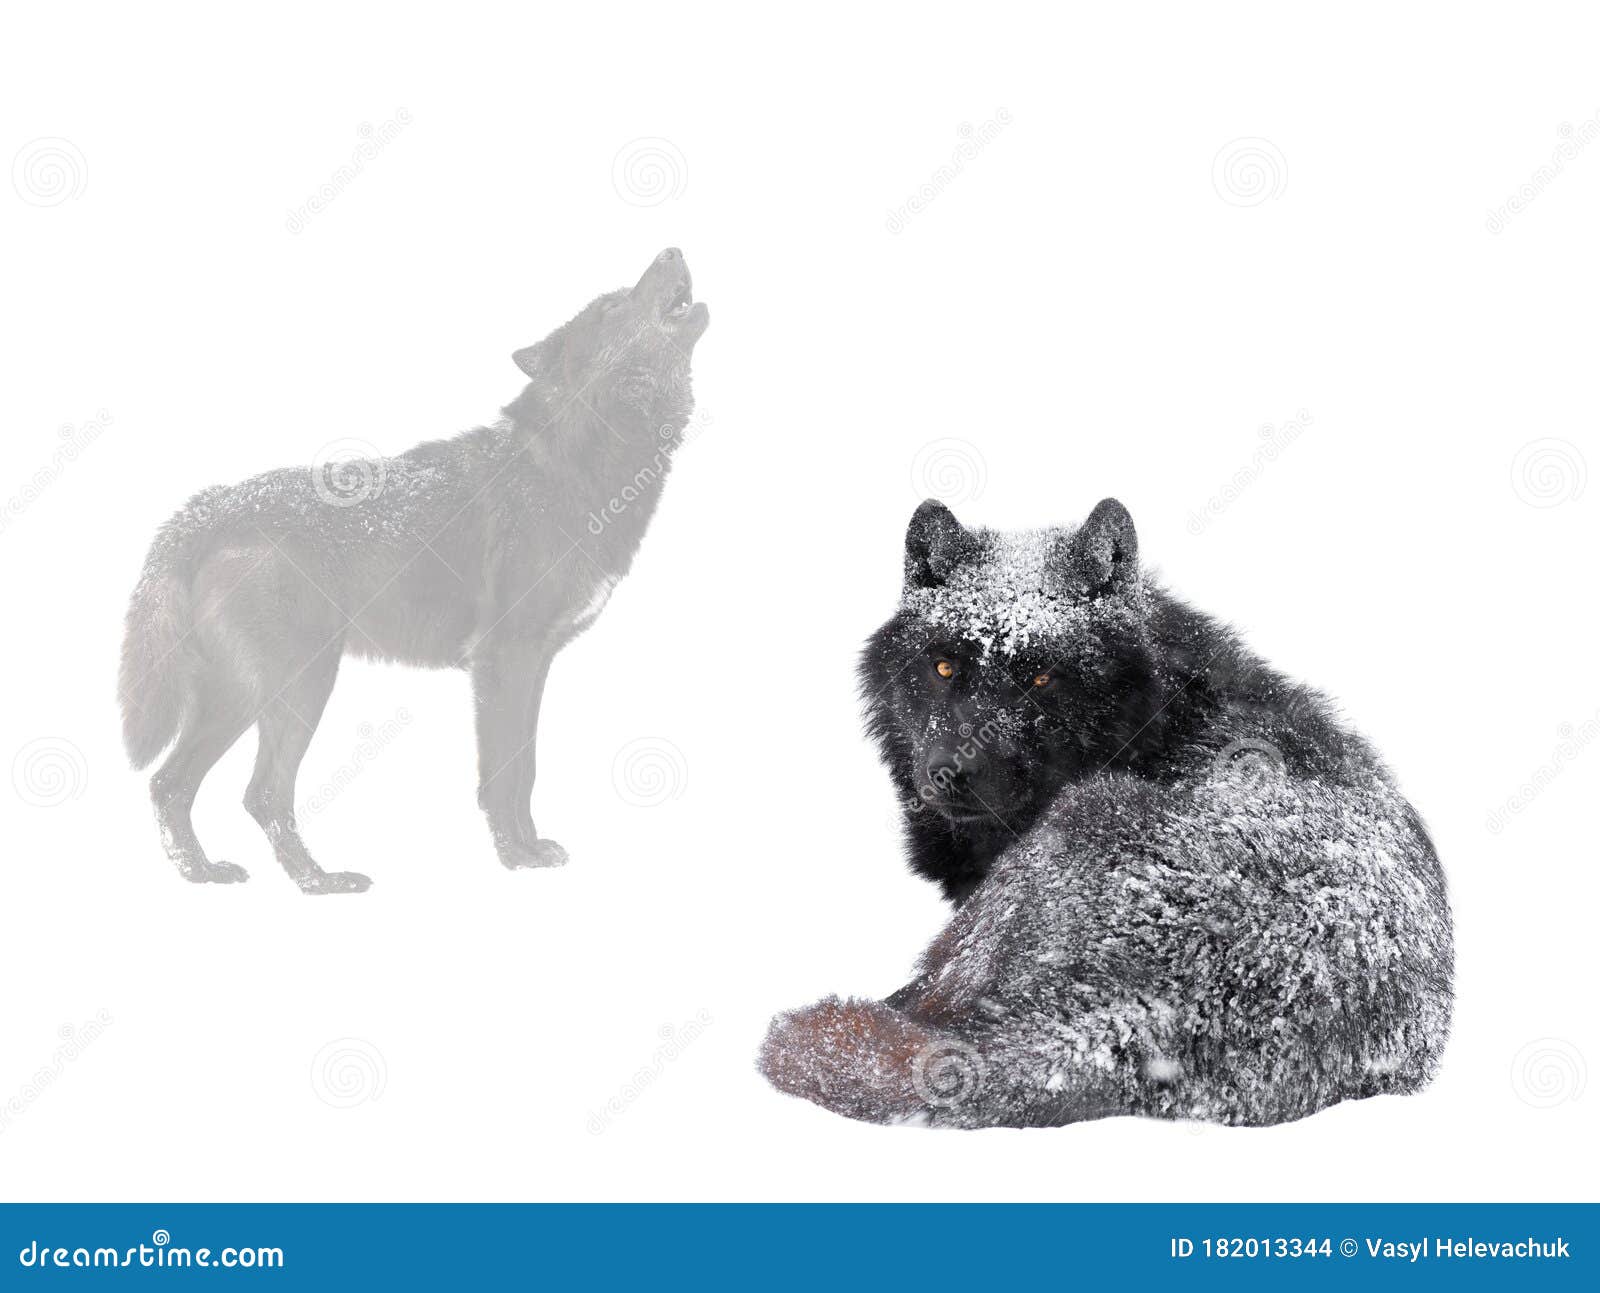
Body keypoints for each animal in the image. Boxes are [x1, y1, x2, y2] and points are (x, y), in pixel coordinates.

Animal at [118, 249, 709, 893]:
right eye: (612, 305)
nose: (671, 250)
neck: (573, 461)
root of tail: (213, 505)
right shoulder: (505, 660)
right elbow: (505, 773)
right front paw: (515, 857)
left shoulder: (537, 662)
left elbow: (525, 768)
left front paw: (530, 849)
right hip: (291, 686)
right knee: (228, 789)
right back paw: (297, 881)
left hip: (270, 692)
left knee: (210, 789)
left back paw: (245, 876)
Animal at [760, 498, 1453, 1127]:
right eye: (945, 665)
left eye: (1042, 678)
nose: (952, 771)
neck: (1169, 718)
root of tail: (1141, 1013)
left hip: (1068, 828)